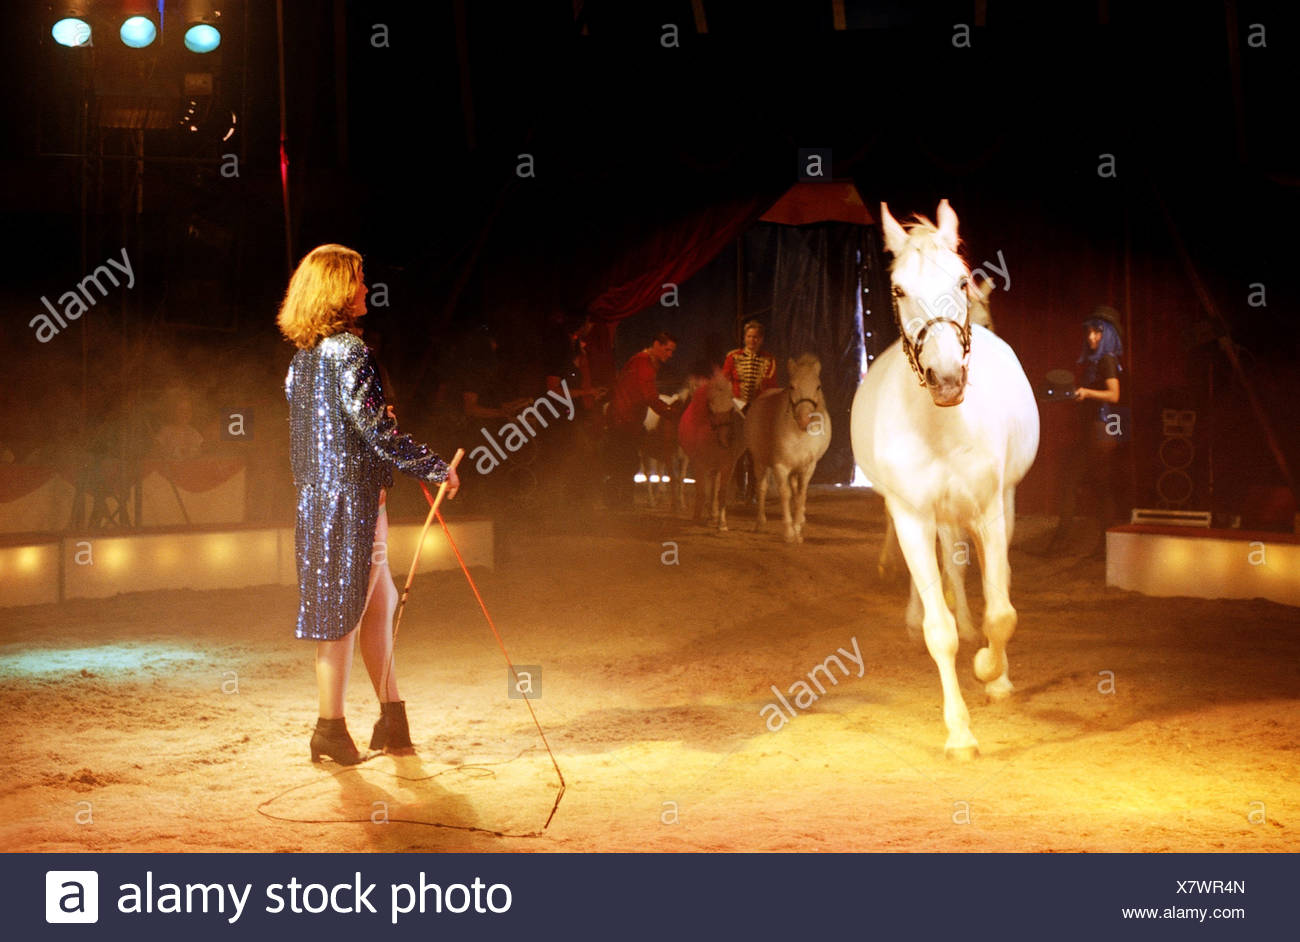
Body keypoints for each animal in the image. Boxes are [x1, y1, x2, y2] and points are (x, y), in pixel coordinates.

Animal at [678, 368, 746, 530]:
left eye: (731, 407)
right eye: (710, 407)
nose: (727, 439)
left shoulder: (728, 465)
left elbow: (721, 492)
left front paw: (722, 523)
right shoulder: (699, 464)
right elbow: (702, 491)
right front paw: (697, 517)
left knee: (715, 486)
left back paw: (713, 514)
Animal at [744, 353, 831, 543]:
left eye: (818, 386)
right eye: (792, 386)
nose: (805, 420)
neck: (800, 435)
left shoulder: (807, 467)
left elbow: (801, 494)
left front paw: (798, 528)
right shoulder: (780, 466)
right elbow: (785, 494)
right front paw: (789, 532)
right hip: (760, 462)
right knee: (761, 489)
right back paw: (760, 523)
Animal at [850, 199, 1039, 759]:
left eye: (959, 280)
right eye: (897, 290)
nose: (947, 378)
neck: (940, 426)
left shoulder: (990, 508)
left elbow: (1002, 610)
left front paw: (992, 673)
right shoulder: (913, 515)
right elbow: (941, 629)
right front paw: (959, 732)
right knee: (941, 572)